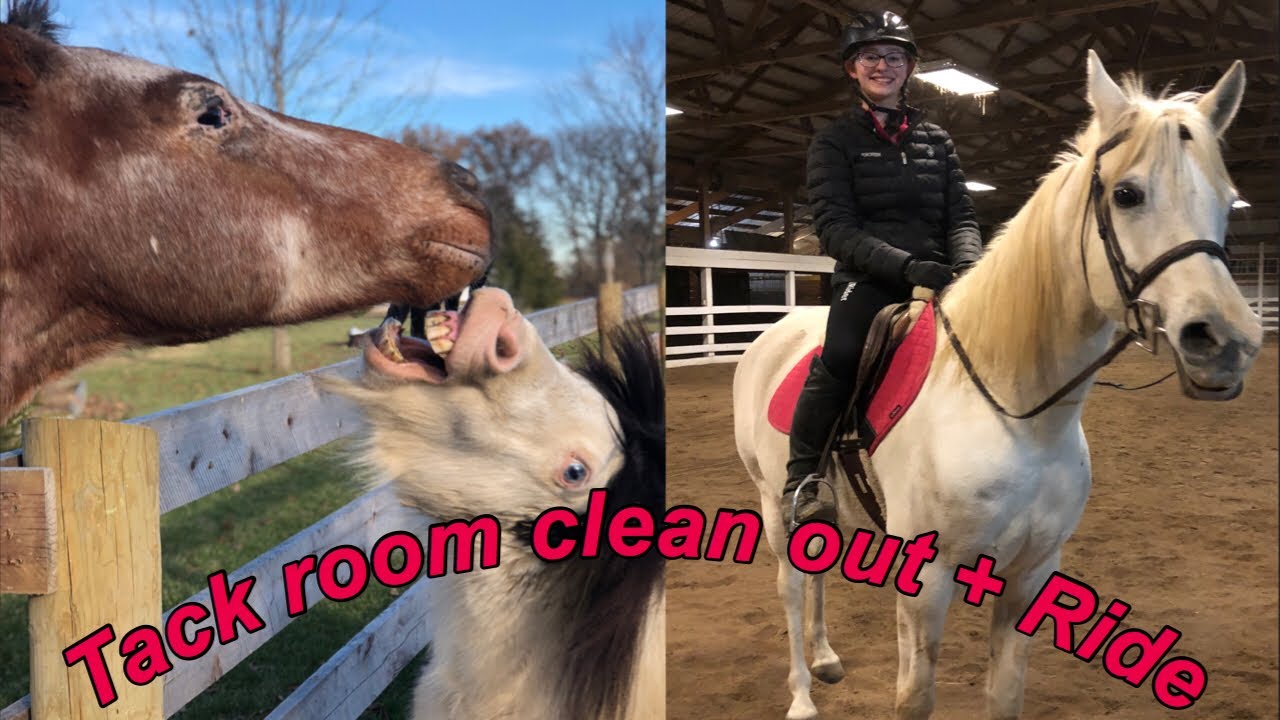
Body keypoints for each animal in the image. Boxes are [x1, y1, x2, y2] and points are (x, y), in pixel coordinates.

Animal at [733, 51, 1261, 720]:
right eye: (1127, 194)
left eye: (1226, 199)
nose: (1226, 342)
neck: (1017, 417)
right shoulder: (926, 583)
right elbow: (915, 698)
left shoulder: (1030, 575)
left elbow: (1006, 694)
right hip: (773, 501)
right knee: (791, 584)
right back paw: (802, 694)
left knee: (818, 567)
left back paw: (826, 659)